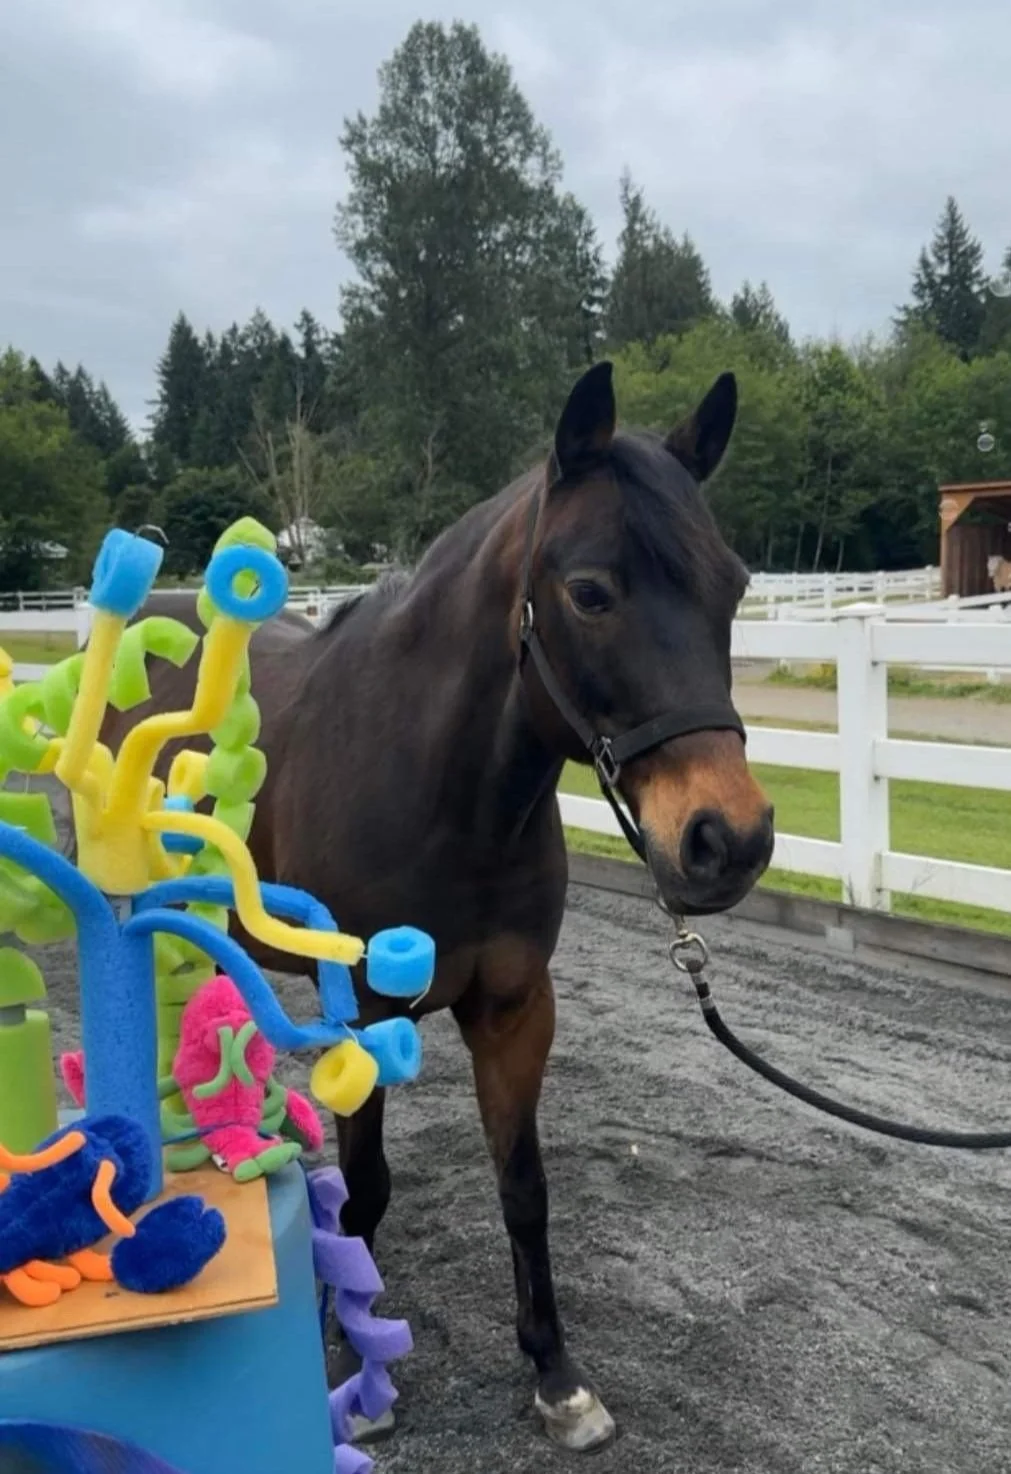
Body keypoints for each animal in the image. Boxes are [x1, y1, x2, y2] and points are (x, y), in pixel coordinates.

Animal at [102, 361, 775, 1452]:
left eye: (734, 587)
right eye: (590, 592)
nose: (731, 839)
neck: (445, 788)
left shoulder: (515, 1008)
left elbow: (524, 1186)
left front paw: (555, 1375)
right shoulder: (368, 1013)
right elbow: (368, 1183)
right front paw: (352, 1355)